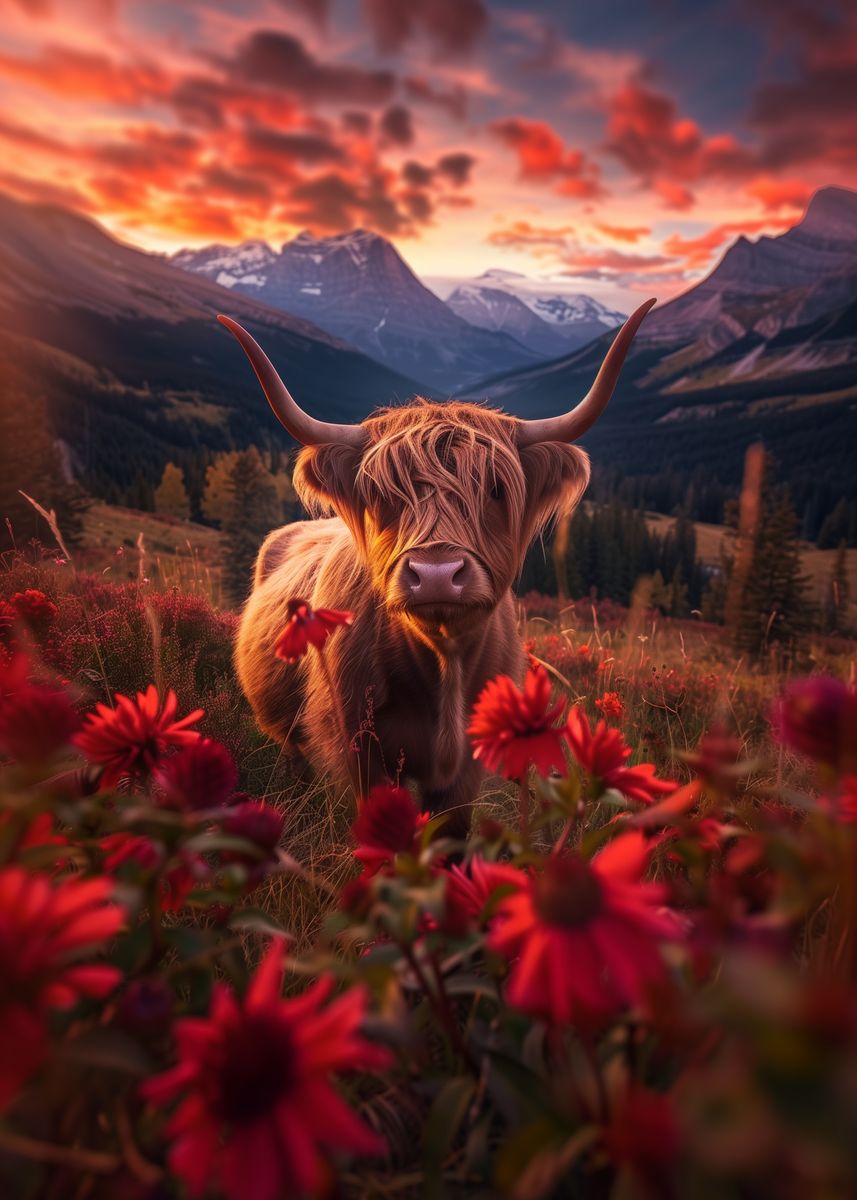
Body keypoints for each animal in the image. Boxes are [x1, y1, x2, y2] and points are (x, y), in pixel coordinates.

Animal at [220, 299, 655, 836]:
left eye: (495, 488)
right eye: (382, 493)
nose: (435, 574)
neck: (444, 666)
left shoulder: (466, 768)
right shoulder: (359, 745)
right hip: (284, 729)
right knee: (293, 761)